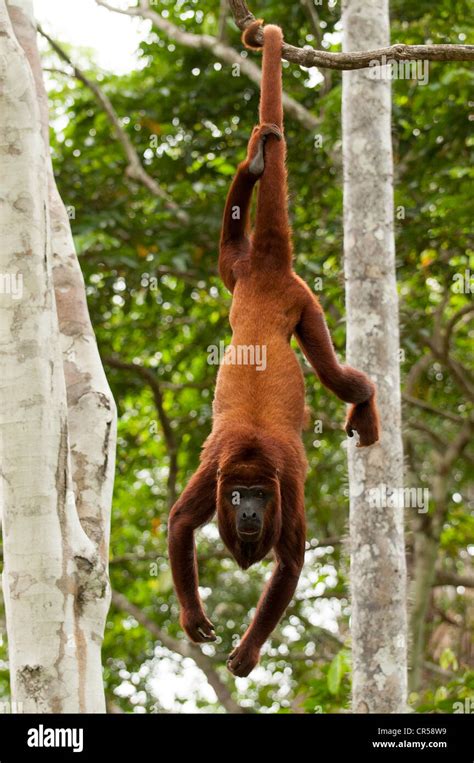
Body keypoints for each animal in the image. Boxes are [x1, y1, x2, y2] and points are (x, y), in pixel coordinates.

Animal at [168, 20, 380, 678]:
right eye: (238, 494)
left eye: (260, 495)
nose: (249, 513)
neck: (254, 457)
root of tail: (266, 268)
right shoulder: (214, 470)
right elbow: (180, 522)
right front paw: (193, 617)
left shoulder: (286, 479)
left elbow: (289, 562)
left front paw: (247, 649)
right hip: (239, 275)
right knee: (233, 234)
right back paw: (255, 163)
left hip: (300, 303)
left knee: (337, 375)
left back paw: (365, 407)